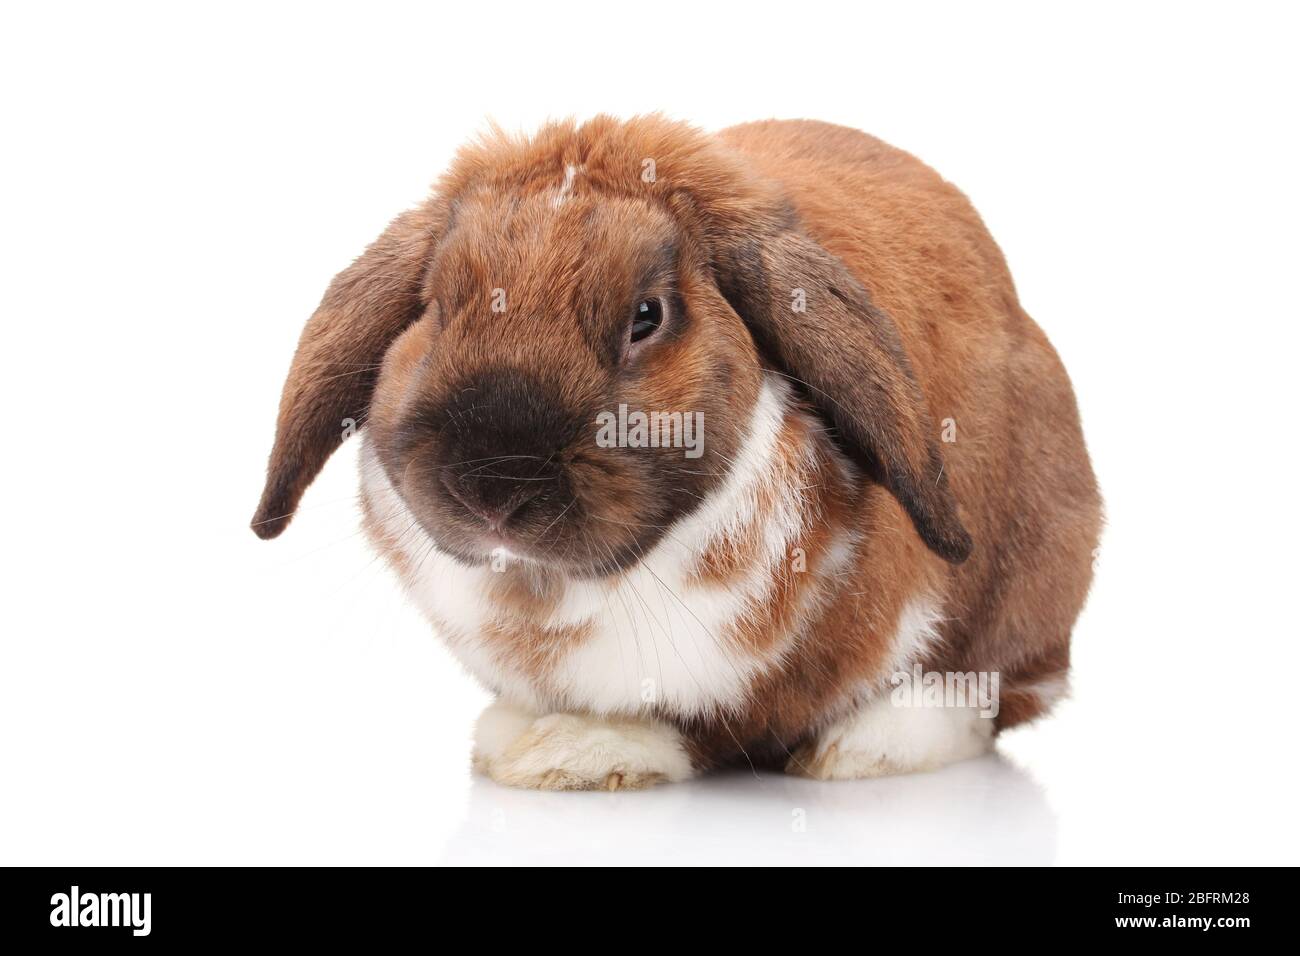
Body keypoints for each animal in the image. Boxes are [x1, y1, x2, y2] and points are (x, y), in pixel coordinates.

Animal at [252, 115, 1101, 790]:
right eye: (433, 306)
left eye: (647, 317)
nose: (493, 487)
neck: (561, 593)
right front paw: (524, 742)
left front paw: (576, 752)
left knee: (991, 692)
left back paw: (869, 746)